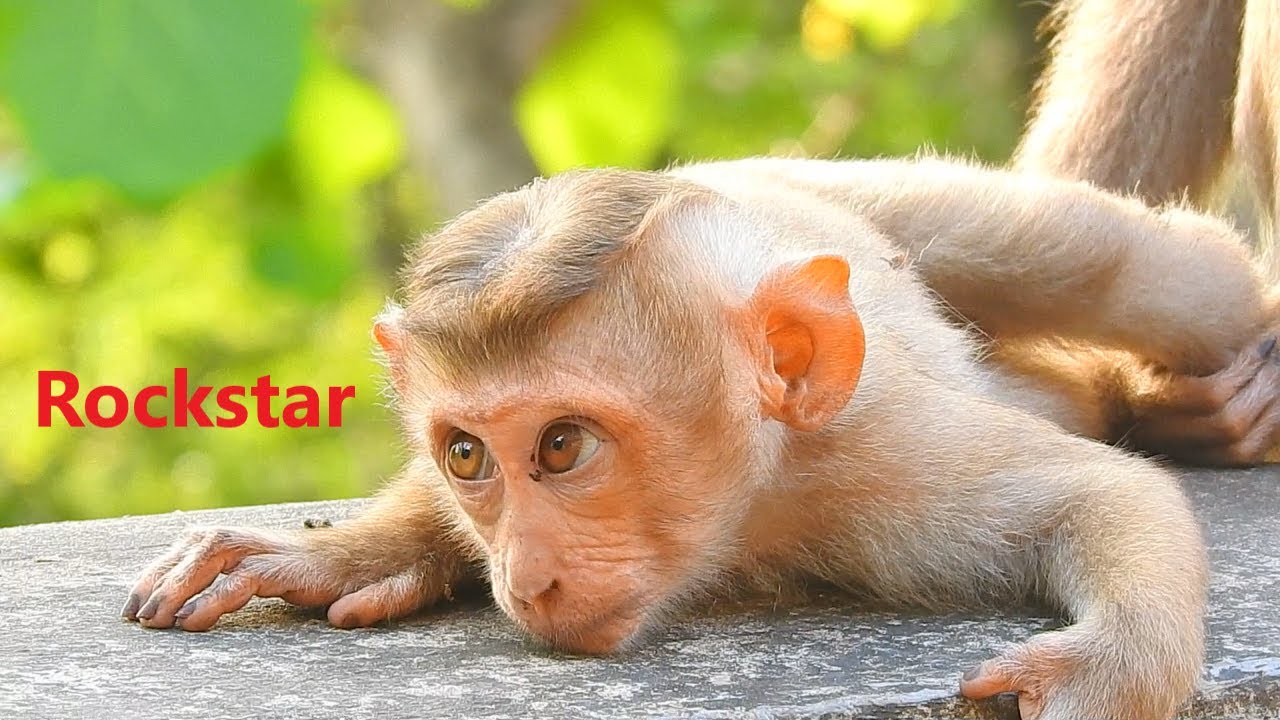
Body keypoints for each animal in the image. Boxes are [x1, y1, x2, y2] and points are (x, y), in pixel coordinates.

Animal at [121, 156, 1280, 719]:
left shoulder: (879, 467)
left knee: (1151, 273)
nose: (525, 576)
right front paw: (341, 552)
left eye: (562, 447)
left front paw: (1103, 672)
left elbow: (1098, 496)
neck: (749, 503)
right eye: (467, 457)